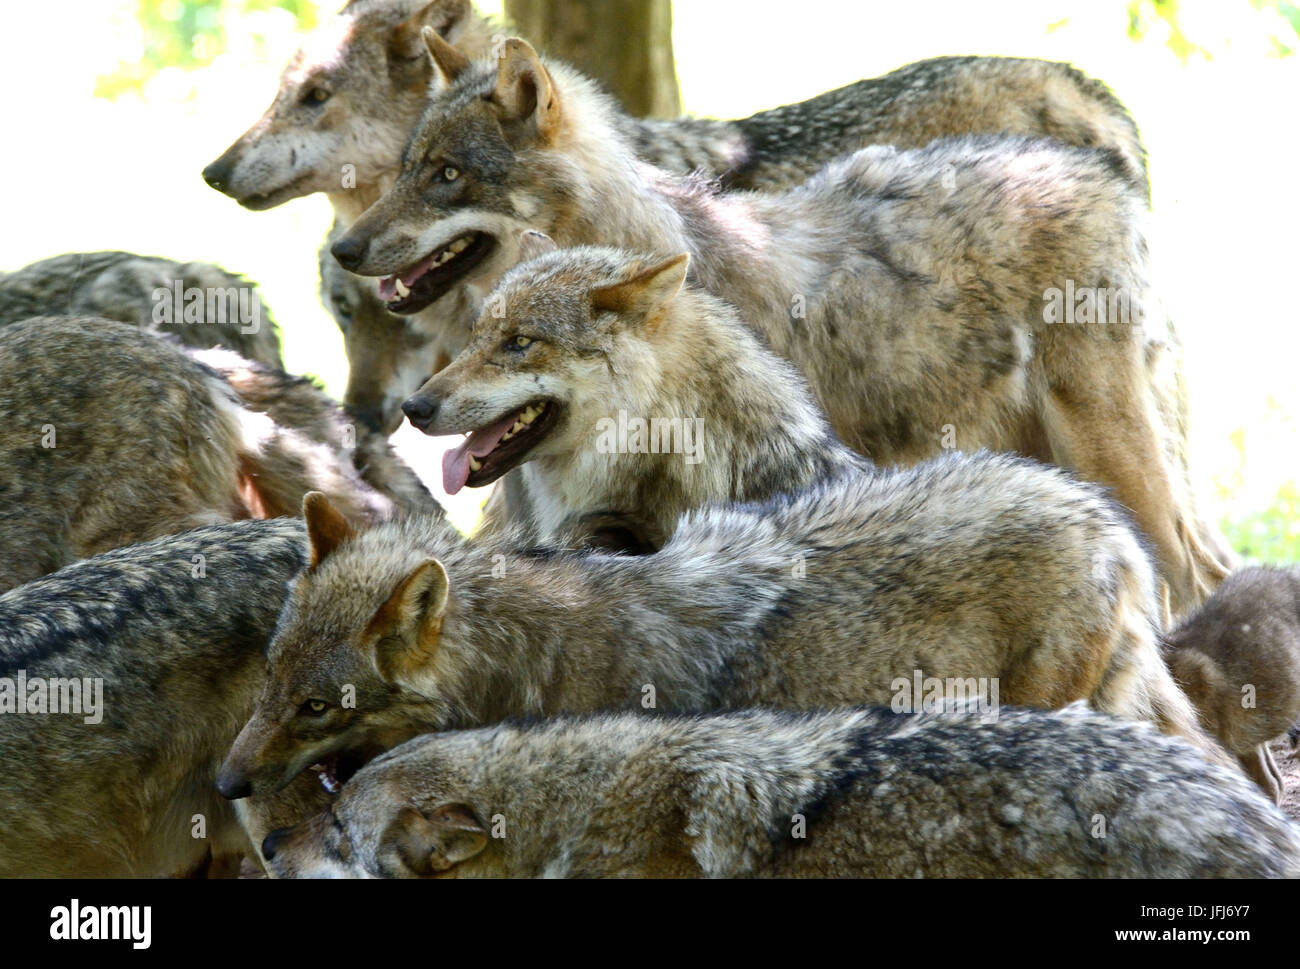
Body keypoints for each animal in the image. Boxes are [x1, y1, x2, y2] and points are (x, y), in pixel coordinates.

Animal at [334, 38, 1230, 615]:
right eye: (408, 169)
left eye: (446, 175)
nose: (343, 249)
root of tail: (1099, 164)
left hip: (1110, 454)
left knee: (1193, 578)